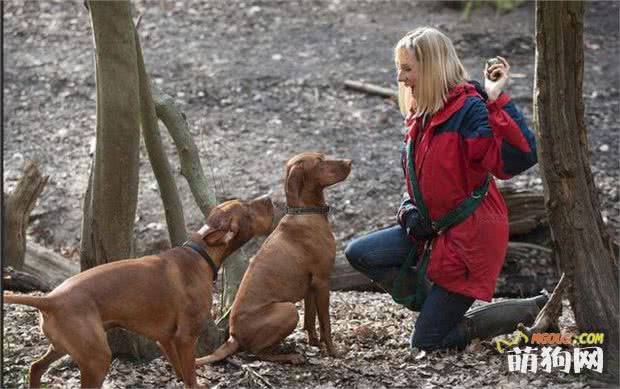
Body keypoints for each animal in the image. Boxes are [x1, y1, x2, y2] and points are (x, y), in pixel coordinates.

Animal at [3, 196, 272, 386]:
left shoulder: (165, 338)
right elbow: (191, 376)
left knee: (35, 367)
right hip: (97, 359)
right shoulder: (185, 338)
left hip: (61, 346)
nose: (269, 198)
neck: (199, 252)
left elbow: (182, 372)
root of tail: (51, 299)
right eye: (248, 209)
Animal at [196, 152, 352, 364]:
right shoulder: (322, 281)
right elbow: (326, 324)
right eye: (320, 162)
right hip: (288, 310)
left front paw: (314, 344)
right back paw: (290, 356)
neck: (305, 213)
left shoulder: (311, 286)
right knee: (257, 352)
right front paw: (334, 351)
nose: (349, 162)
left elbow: (310, 320)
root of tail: (233, 336)